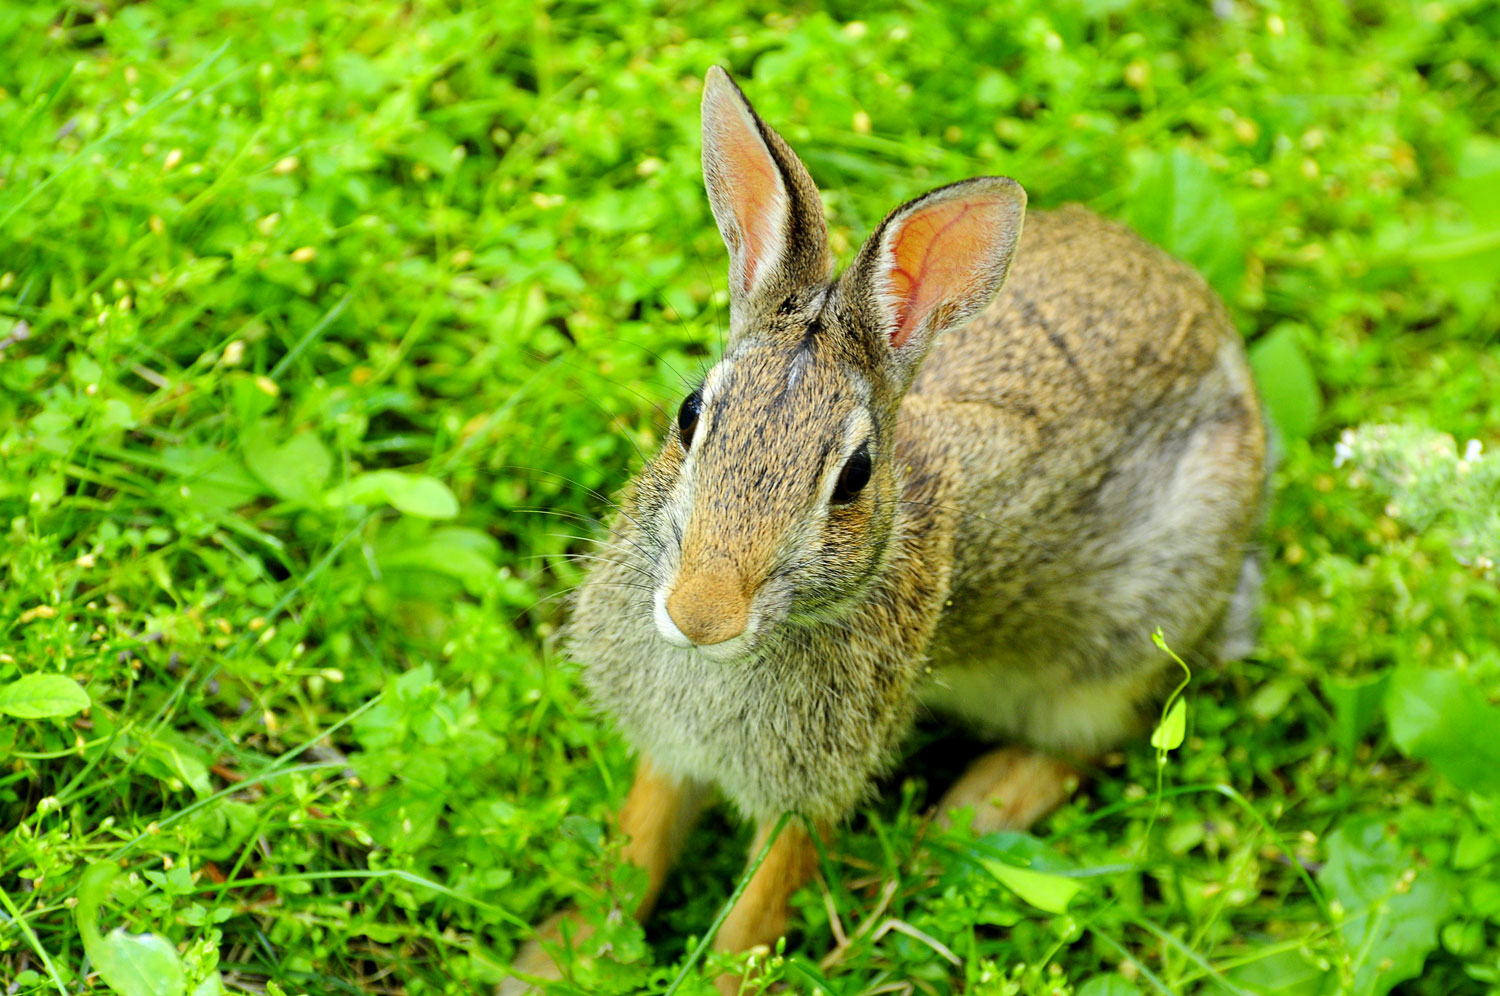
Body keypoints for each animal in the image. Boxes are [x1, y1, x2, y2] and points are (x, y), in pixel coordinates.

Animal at [503, 66, 1266, 994]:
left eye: (855, 476)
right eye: (690, 415)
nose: (700, 614)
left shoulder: (810, 789)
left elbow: (754, 916)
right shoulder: (670, 745)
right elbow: (636, 849)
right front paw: (561, 958)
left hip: (1124, 641)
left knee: (1091, 744)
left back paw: (951, 829)